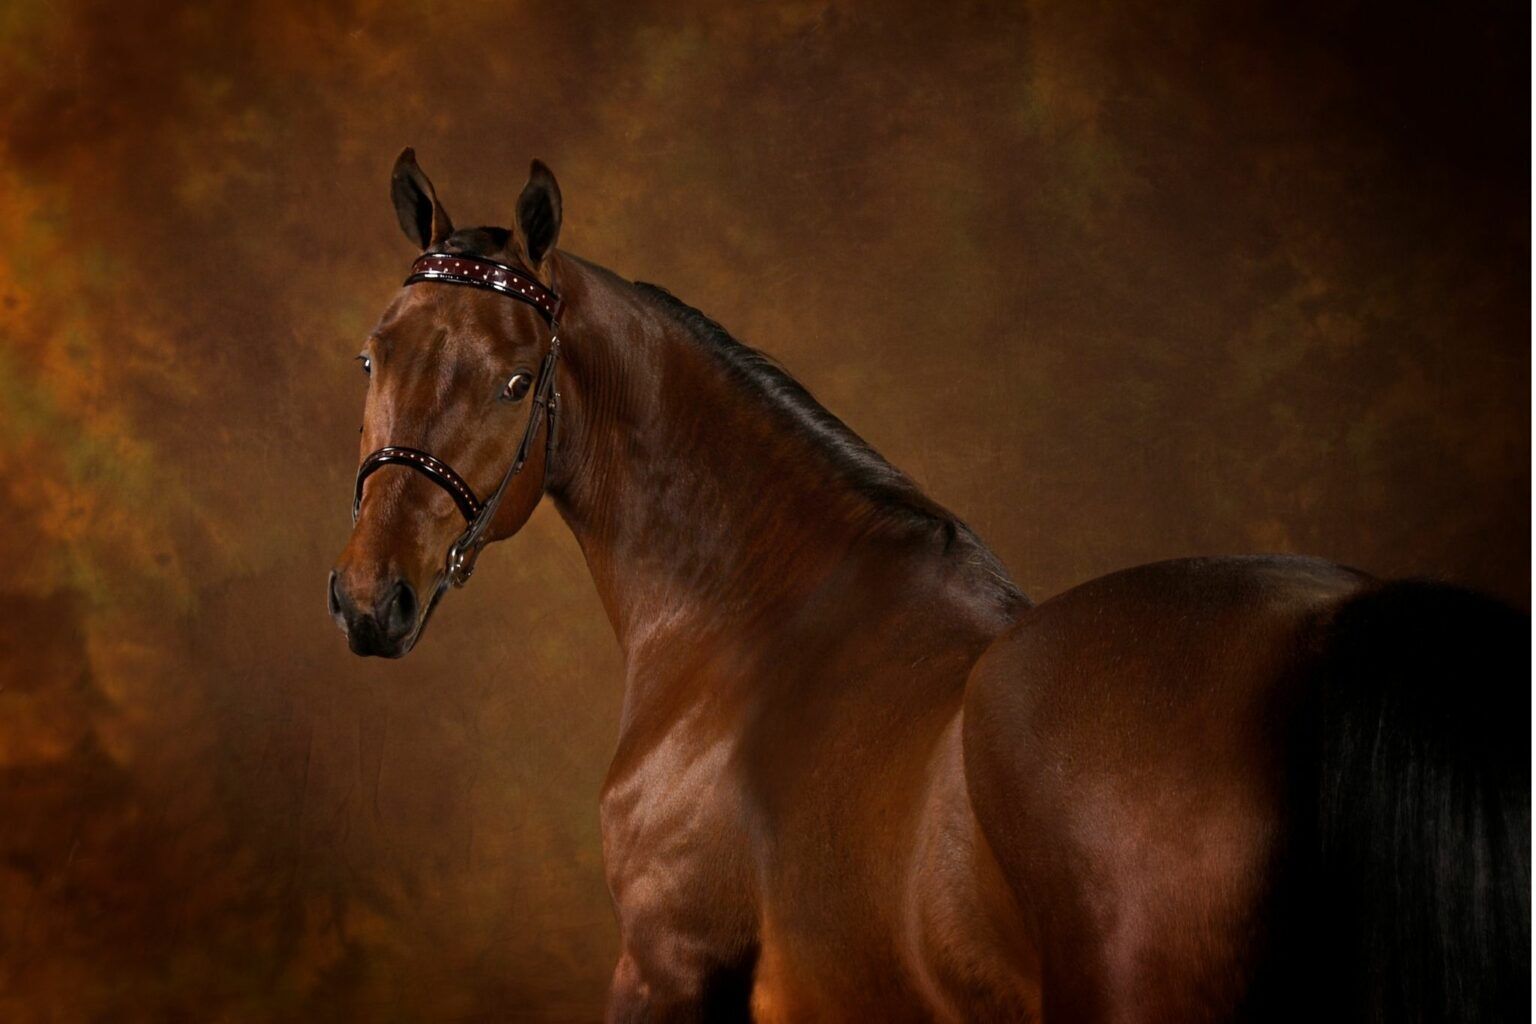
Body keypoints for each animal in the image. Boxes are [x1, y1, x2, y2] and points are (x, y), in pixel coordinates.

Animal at [328, 150, 1529, 1022]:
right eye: (374, 354)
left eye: (514, 380)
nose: (370, 597)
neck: (756, 621)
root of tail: (1331, 625)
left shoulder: (666, 965)